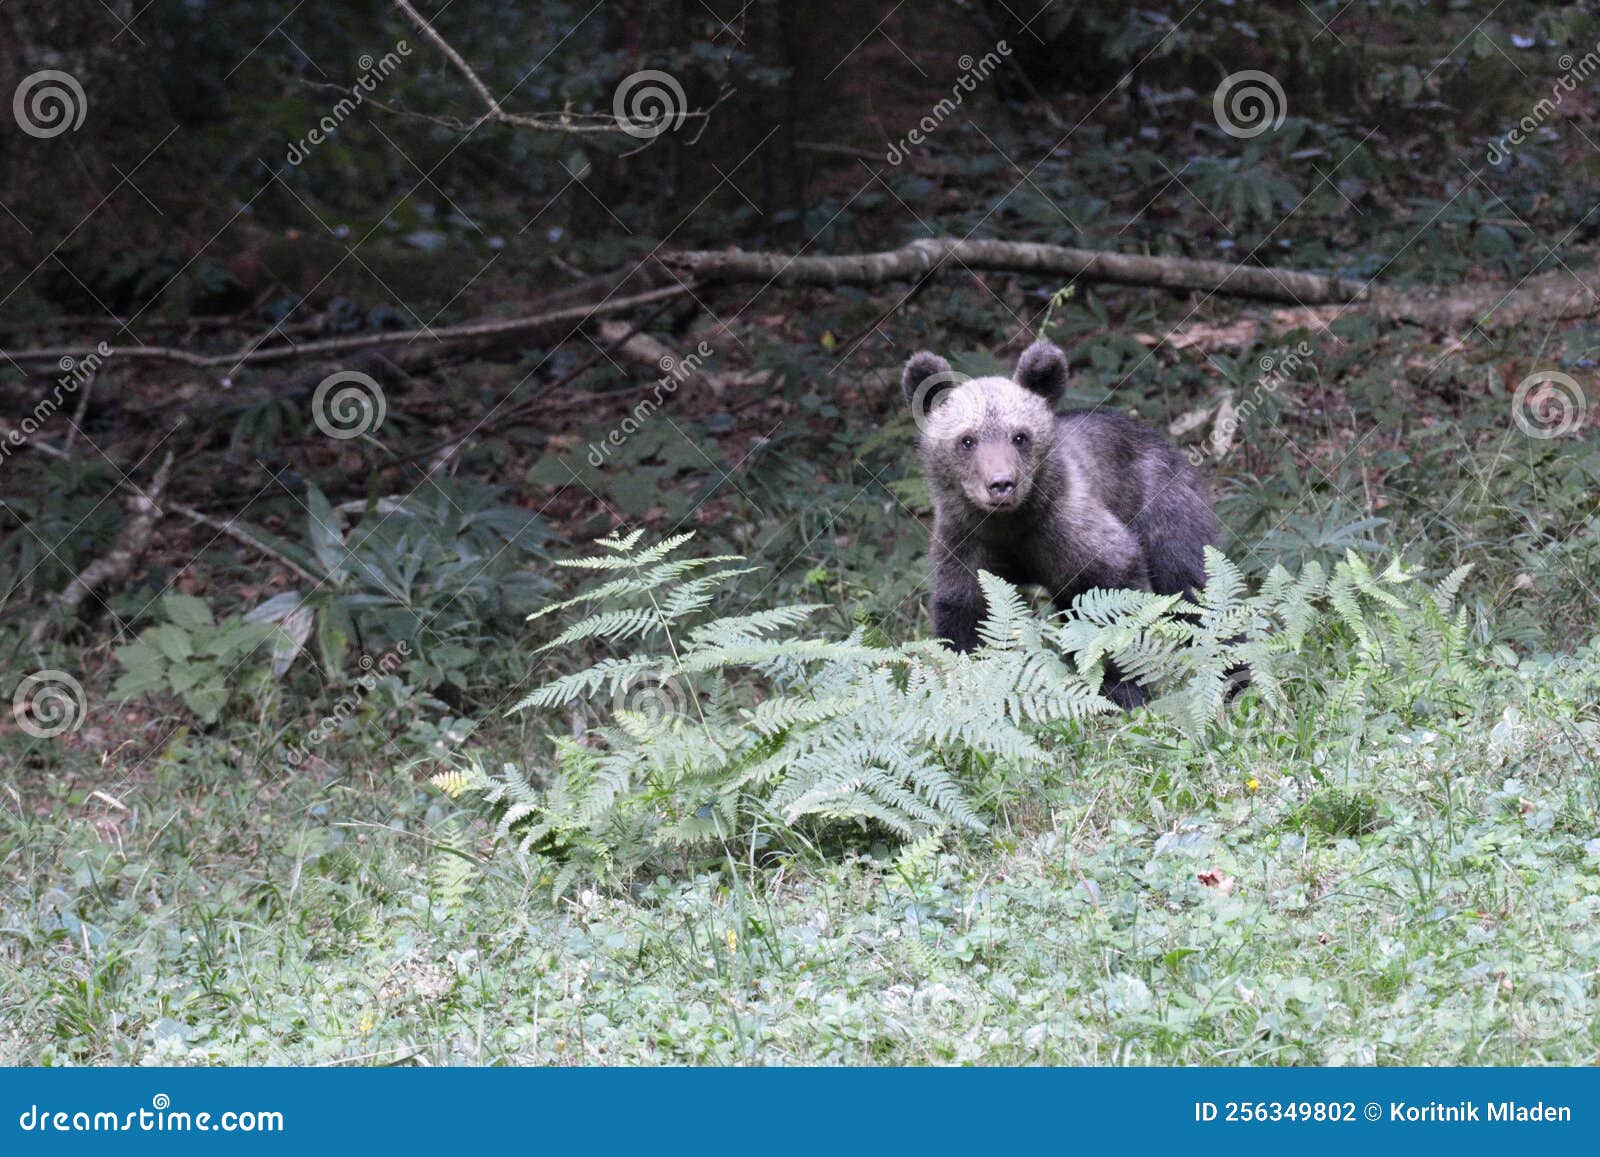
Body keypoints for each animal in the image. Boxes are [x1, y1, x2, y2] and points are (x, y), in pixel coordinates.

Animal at [902, 338, 1217, 708]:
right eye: (967, 439)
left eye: (1020, 436)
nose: (1001, 484)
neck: (1011, 524)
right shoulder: (967, 540)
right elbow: (965, 611)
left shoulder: (1067, 525)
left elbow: (1113, 592)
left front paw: (1122, 688)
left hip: (1162, 503)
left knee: (1189, 579)